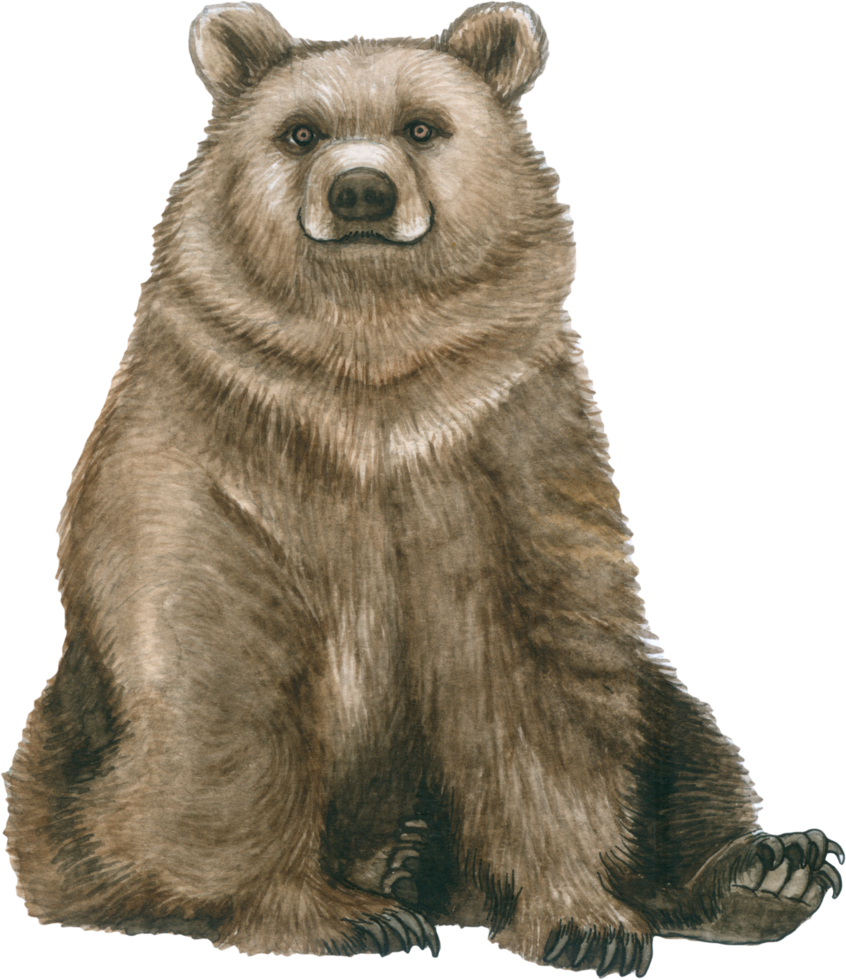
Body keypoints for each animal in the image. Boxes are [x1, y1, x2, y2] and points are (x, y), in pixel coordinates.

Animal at [2, 1, 843, 975]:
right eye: (300, 131)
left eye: (423, 127)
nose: (361, 192)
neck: (371, 367)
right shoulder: (211, 449)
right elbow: (221, 669)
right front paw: (324, 914)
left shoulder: (510, 441)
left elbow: (539, 670)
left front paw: (584, 917)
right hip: (58, 781)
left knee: (681, 731)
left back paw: (764, 872)